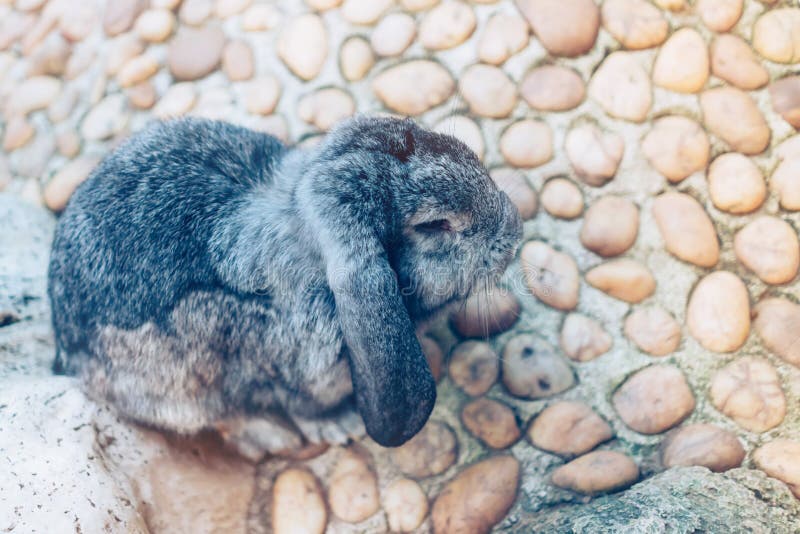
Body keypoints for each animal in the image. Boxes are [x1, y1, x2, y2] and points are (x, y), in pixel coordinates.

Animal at [48, 115, 522, 459]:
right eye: (435, 224)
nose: (514, 229)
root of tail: (67, 347)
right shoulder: (296, 371)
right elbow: (300, 405)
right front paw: (340, 427)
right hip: (186, 388)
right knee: (223, 417)